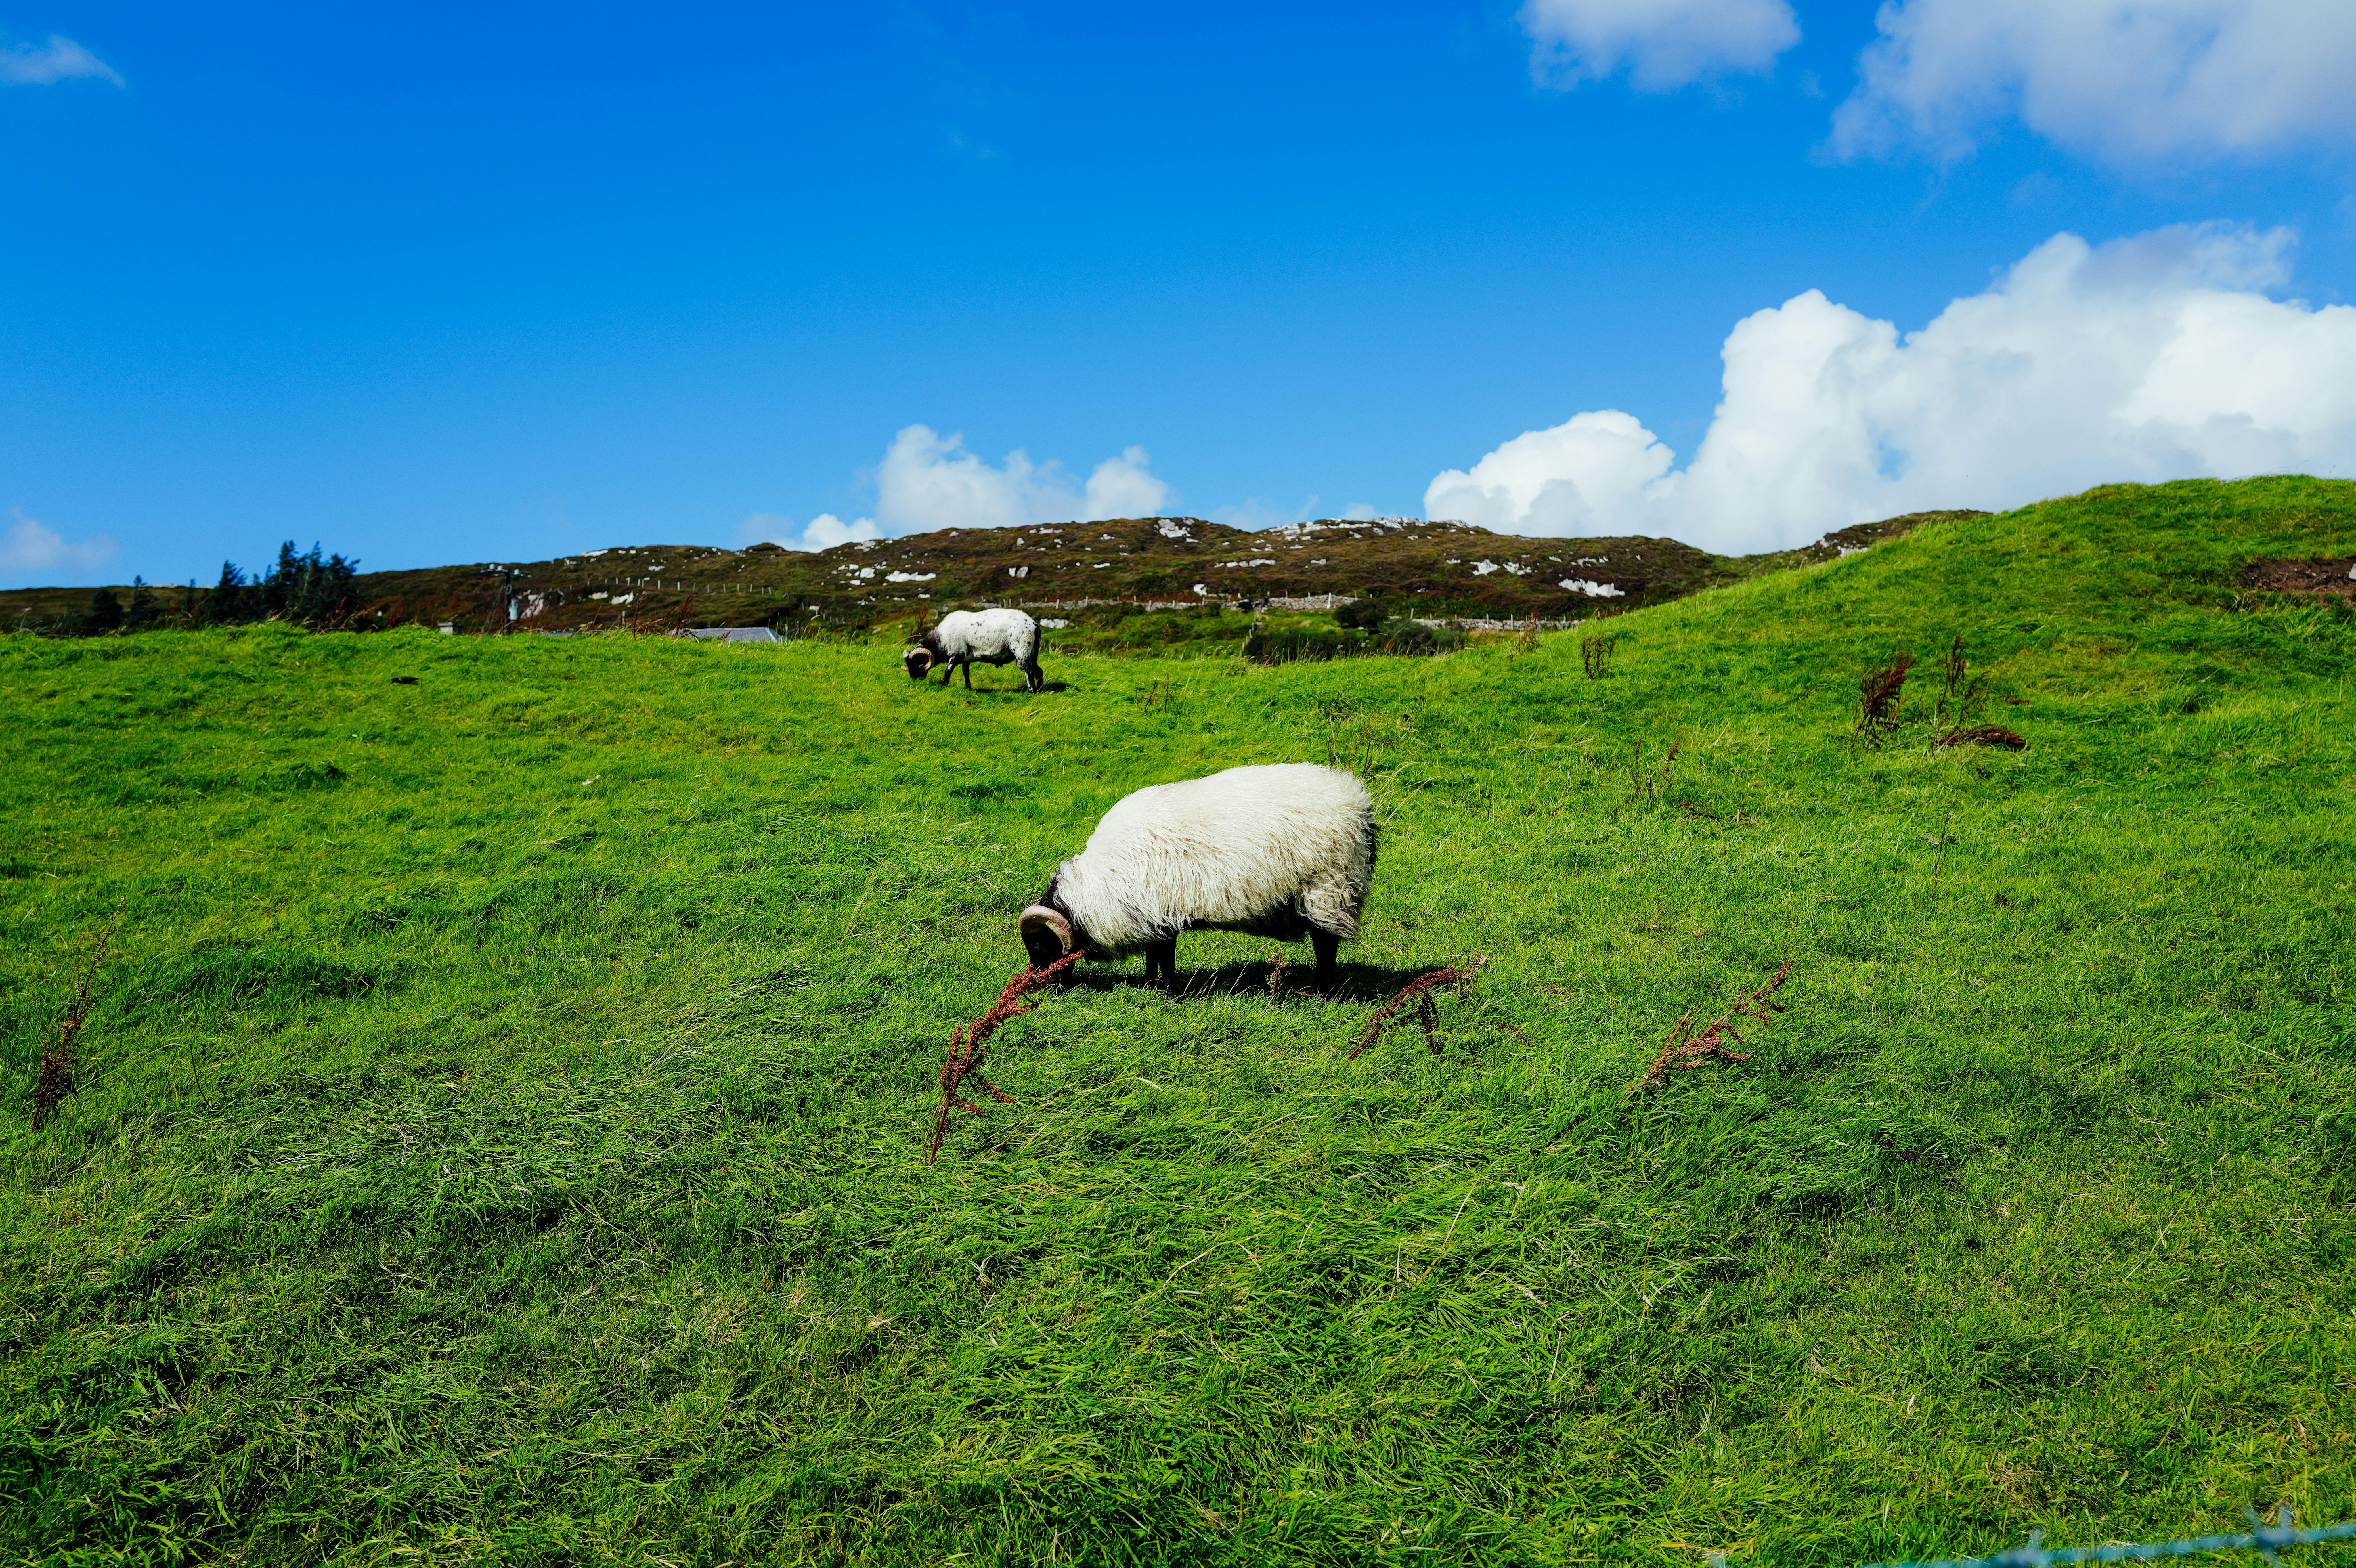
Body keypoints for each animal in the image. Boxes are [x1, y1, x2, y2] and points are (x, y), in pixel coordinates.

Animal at [904, 608, 1044, 692]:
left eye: (917, 663)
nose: (915, 680)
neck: (941, 641)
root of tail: (1034, 625)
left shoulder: (956, 654)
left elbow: (948, 671)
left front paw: (945, 686)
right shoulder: (966, 658)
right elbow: (966, 673)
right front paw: (968, 689)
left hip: (1022, 651)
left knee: (1028, 672)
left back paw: (1032, 691)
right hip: (1032, 653)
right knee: (1039, 671)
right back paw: (1040, 690)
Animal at [1017, 762, 1376, 994]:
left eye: (1041, 946)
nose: (1044, 990)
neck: (1101, 884)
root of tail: (1361, 805)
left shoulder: (1161, 913)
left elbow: (1165, 959)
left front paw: (1169, 997)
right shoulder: (1150, 915)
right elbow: (1153, 957)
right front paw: (1148, 987)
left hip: (1328, 888)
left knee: (1325, 944)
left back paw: (1321, 992)